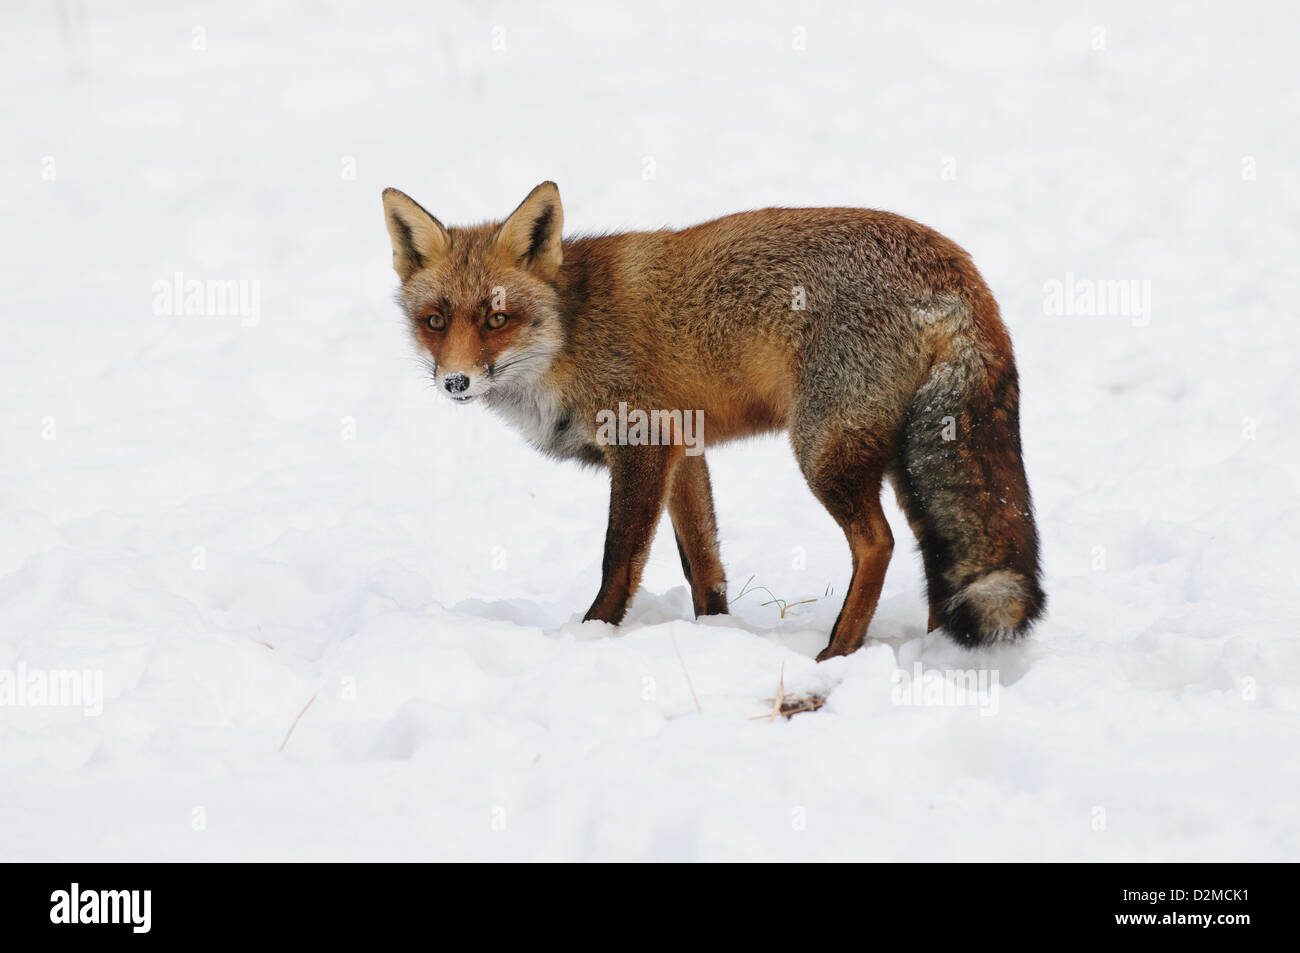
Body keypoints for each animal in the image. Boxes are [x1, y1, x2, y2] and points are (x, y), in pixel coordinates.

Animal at [382, 181, 1044, 660]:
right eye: (435, 321)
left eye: (497, 319)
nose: (456, 382)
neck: (571, 334)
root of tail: (956, 264)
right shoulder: (685, 449)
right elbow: (703, 567)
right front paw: (714, 638)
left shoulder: (643, 442)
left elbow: (618, 561)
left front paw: (591, 637)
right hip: (905, 458)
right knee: (935, 551)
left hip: (823, 450)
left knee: (878, 544)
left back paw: (837, 652)